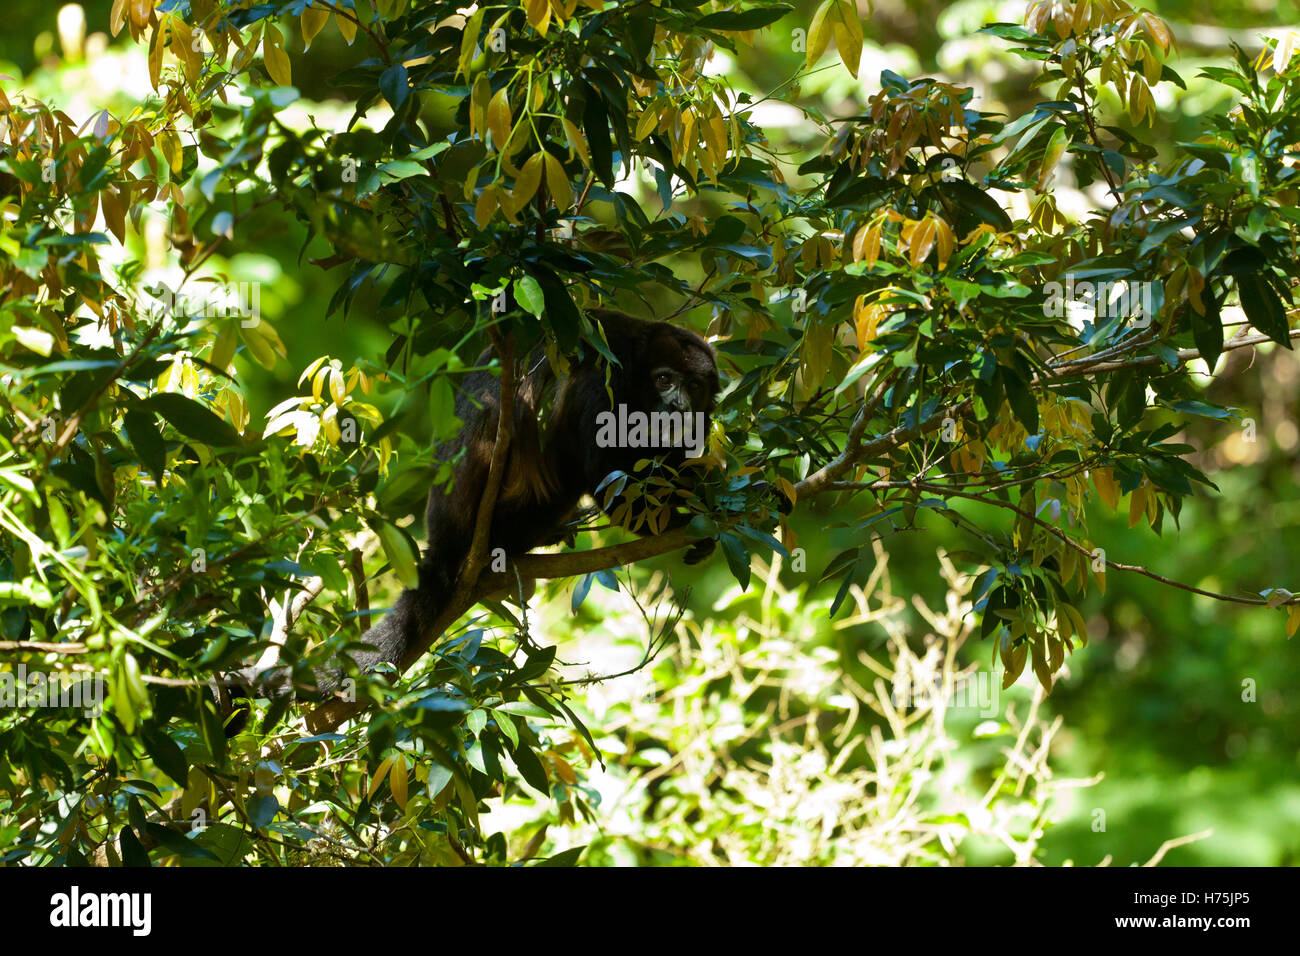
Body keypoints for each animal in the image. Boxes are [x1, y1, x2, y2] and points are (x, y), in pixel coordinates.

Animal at [237, 309, 719, 701]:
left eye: (694, 386)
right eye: (664, 379)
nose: (677, 405)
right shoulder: (606, 375)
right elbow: (606, 473)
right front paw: (690, 520)